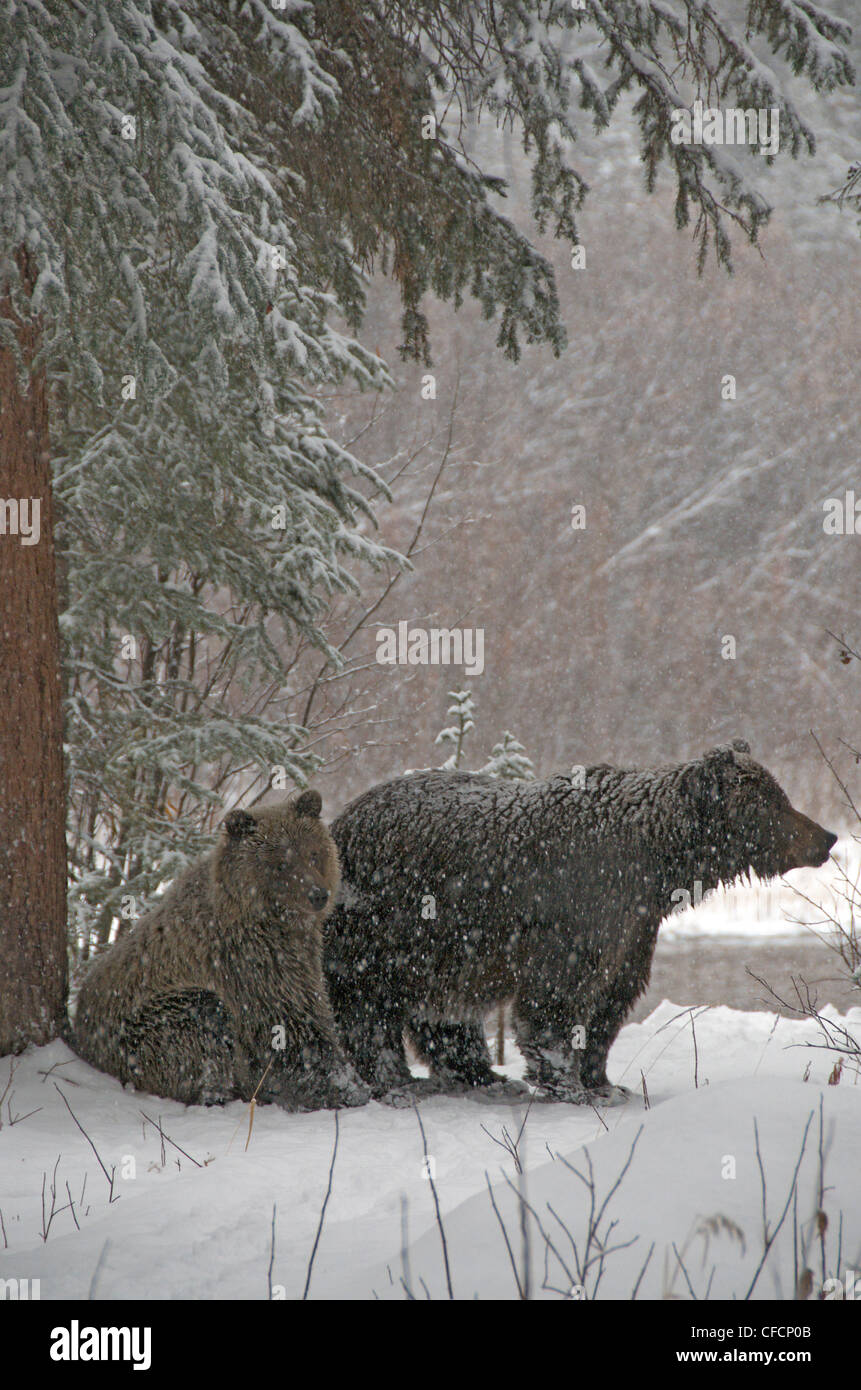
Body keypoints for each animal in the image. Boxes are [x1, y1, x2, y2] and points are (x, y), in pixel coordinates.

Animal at [73, 791, 370, 1111]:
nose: (317, 894)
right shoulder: (249, 964)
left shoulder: (300, 956)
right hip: (140, 1029)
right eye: (280, 863)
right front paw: (347, 1089)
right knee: (202, 1021)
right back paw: (218, 1094)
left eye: (312, 853)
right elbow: (291, 1025)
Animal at [324, 741, 837, 1104]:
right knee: (367, 1005)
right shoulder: (578, 911)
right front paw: (567, 1084)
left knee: (443, 1012)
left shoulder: (634, 926)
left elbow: (613, 998)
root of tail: (339, 822)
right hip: (388, 922)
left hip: (442, 944)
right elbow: (559, 995)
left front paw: (603, 1082)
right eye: (769, 802)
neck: (655, 863)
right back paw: (395, 1083)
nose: (827, 836)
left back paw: (483, 1076)